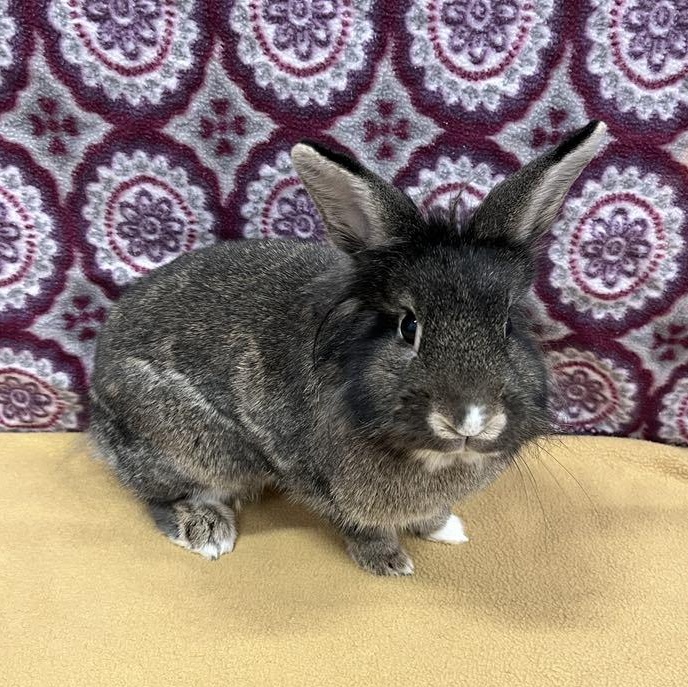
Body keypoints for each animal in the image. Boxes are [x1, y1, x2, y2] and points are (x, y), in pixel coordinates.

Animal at [89, 120, 607, 576]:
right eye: (408, 326)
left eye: (507, 324)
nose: (469, 420)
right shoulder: (318, 479)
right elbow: (360, 526)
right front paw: (389, 562)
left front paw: (445, 528)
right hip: (191, 444)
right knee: (160, 493)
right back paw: (208, 532)